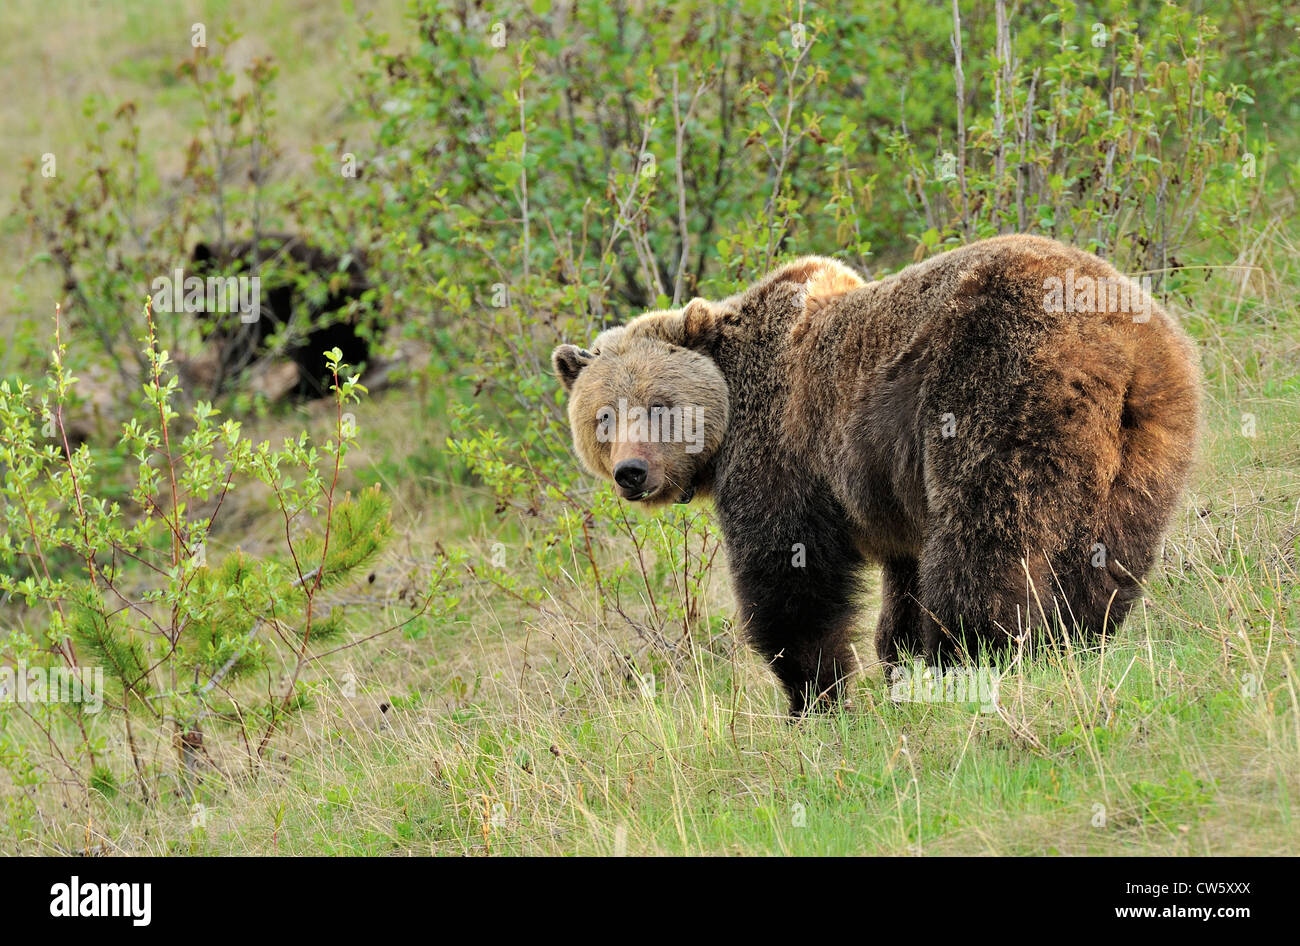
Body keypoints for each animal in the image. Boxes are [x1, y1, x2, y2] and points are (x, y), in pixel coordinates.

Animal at [553, 234, 1202, 715]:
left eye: (660, 404)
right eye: (604, 415)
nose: (632, 472)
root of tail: (1111, 335)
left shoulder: (783, 452)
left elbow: (792, 580)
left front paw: (817, 697)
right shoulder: (886, 492)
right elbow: (901, 581)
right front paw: (896, 665)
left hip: (993, 383)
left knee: (985, 538)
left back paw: (969, 656)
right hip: (1152, 426)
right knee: (1111, 548)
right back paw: (1075, 641)